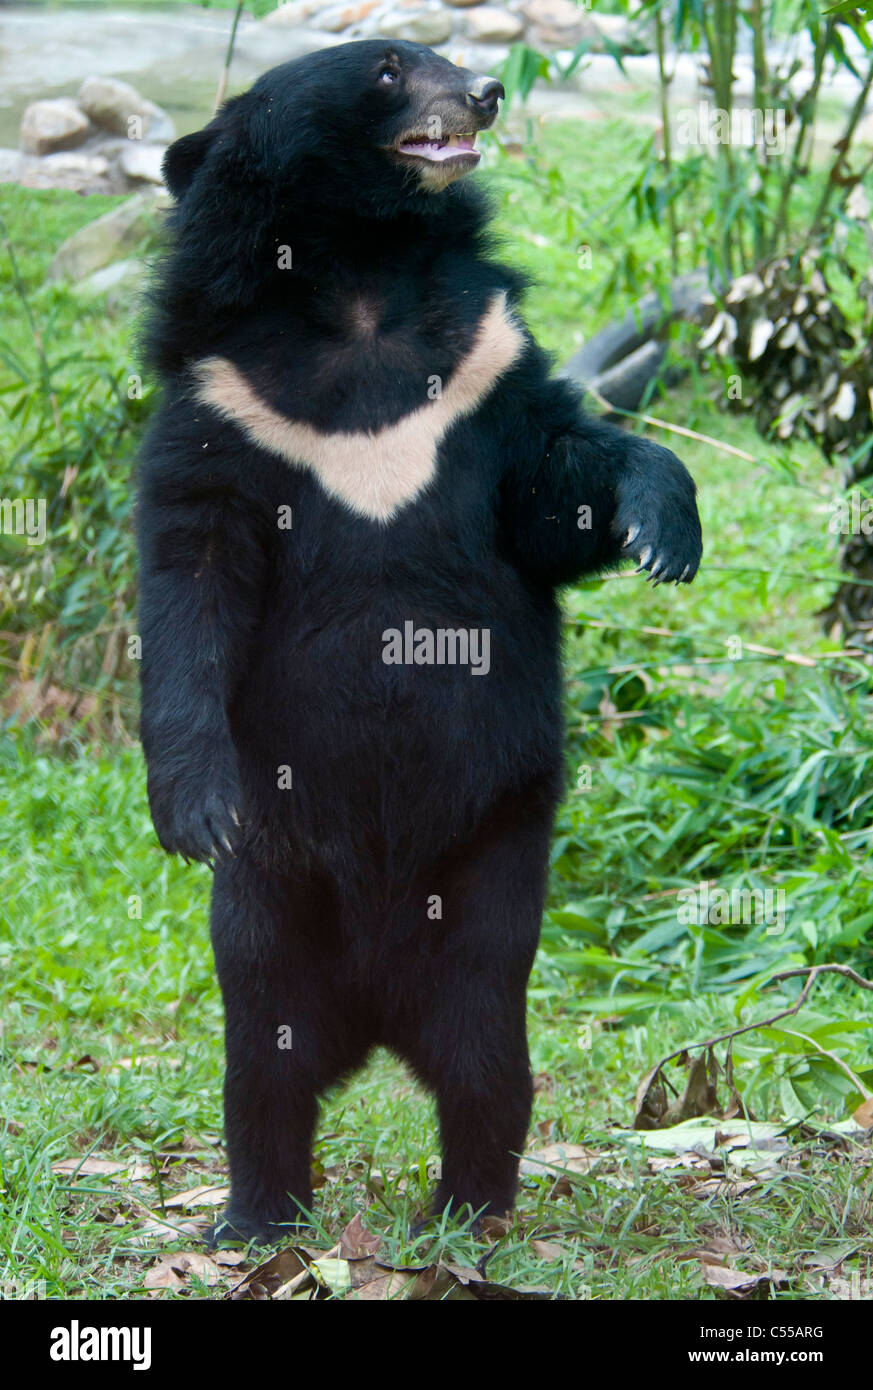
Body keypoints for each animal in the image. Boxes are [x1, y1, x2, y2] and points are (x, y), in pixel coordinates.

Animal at [136, 38, 702, 1244]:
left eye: (444, 54)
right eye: (390, 69)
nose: (486, 92)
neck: (358, 277)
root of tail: (378, 1011)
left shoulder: (484, 367)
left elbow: (549, 492)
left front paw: (660, 527)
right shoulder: (220, 403)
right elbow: (190, 589)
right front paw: (196, 810)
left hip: (492, 866)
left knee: (486, 1054)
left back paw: (466, 1212)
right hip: (278, 890)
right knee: (263, 1051)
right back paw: (258, 1218)